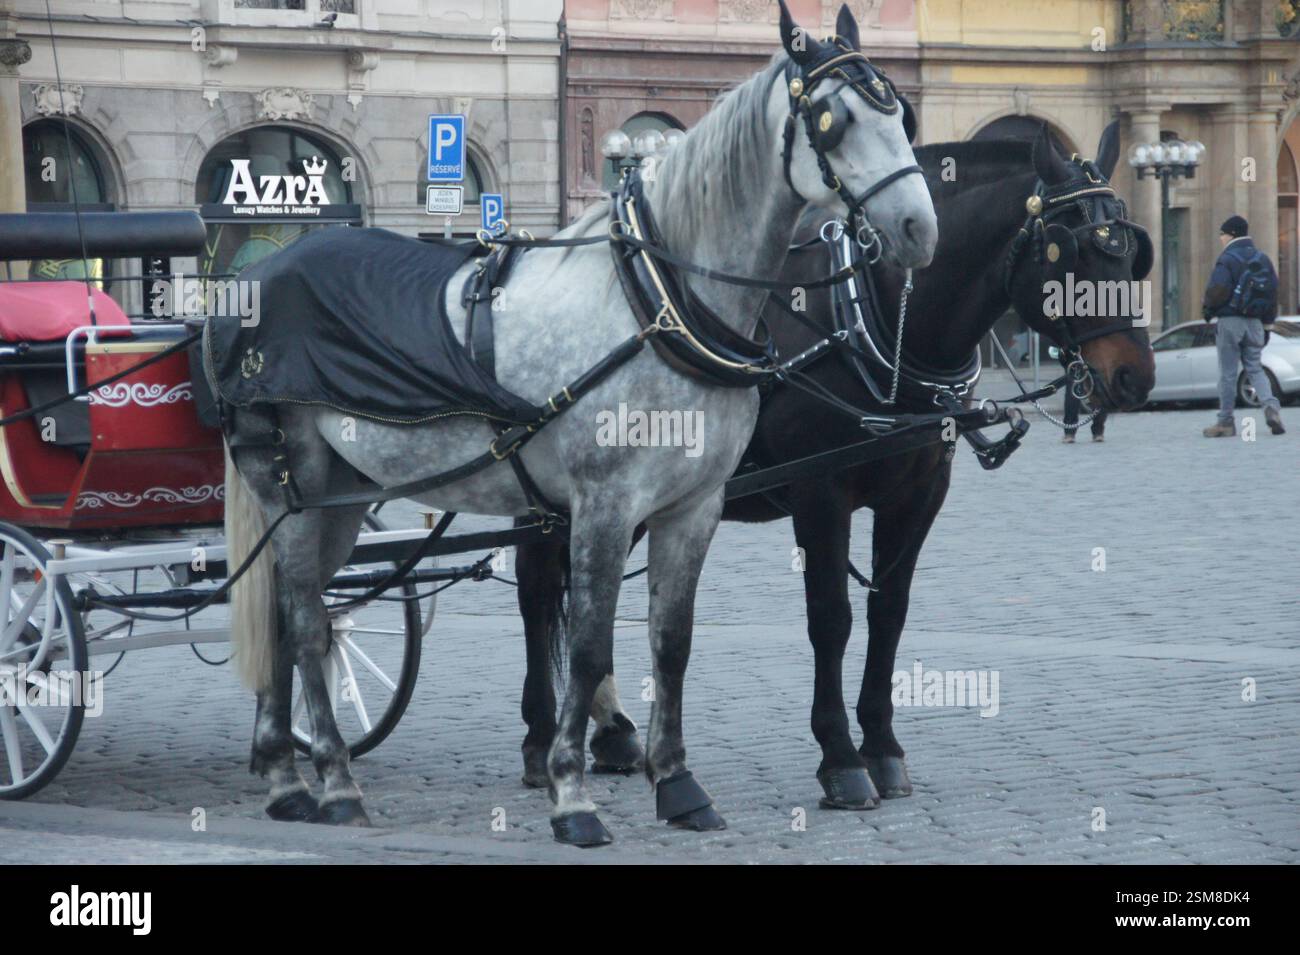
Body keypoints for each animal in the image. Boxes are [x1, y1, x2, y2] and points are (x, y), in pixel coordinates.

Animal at [210, 1, 937, 846]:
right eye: (832, 120)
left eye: (902, 114)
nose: (920, 229)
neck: (657, 300)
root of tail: (251, 283)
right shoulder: (606, 506)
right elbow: (589, 647)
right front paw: (571, 792)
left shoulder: (693, 507)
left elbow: (671, 641)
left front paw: (677, 783)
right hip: (292, 488)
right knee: (306, 621)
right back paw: (331, 777)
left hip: (343, 496)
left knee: (286, 616)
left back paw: (283, 773)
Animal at [513, 123, 1157, 812]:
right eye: (1075, 251)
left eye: (1133, 254)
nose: (1135, 377)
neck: (874, 318)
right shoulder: (821, 492)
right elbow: (831, 618)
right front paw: (841, 758)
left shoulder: (919, 495)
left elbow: (888, 613)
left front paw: (882, 746)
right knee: (536, 591)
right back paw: (540, 736)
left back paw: (612, 731)